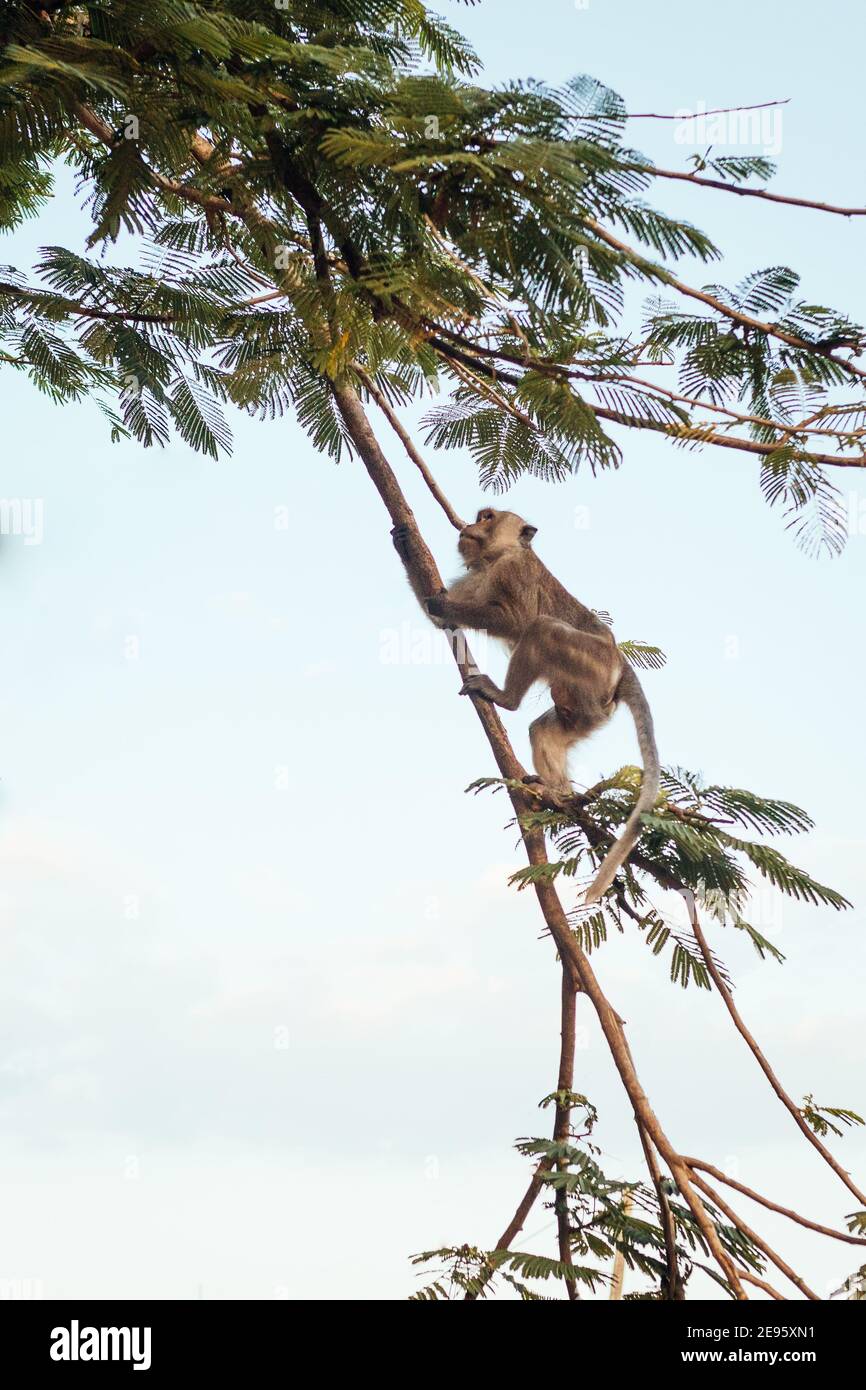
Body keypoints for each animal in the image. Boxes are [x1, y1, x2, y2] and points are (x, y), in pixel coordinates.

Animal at [392, 508, 660, 903]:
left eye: (488, 517)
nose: (470, 526)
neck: (497, 557)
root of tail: (620, 665)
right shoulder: (478, 576)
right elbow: (441, 622)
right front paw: (404, 544)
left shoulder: (513, 572)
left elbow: (515, 619)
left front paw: (442, 602)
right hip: (587, 706)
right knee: (545, 729)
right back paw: (560, 797)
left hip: (591, 668)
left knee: (541, 628)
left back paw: (506, 699)